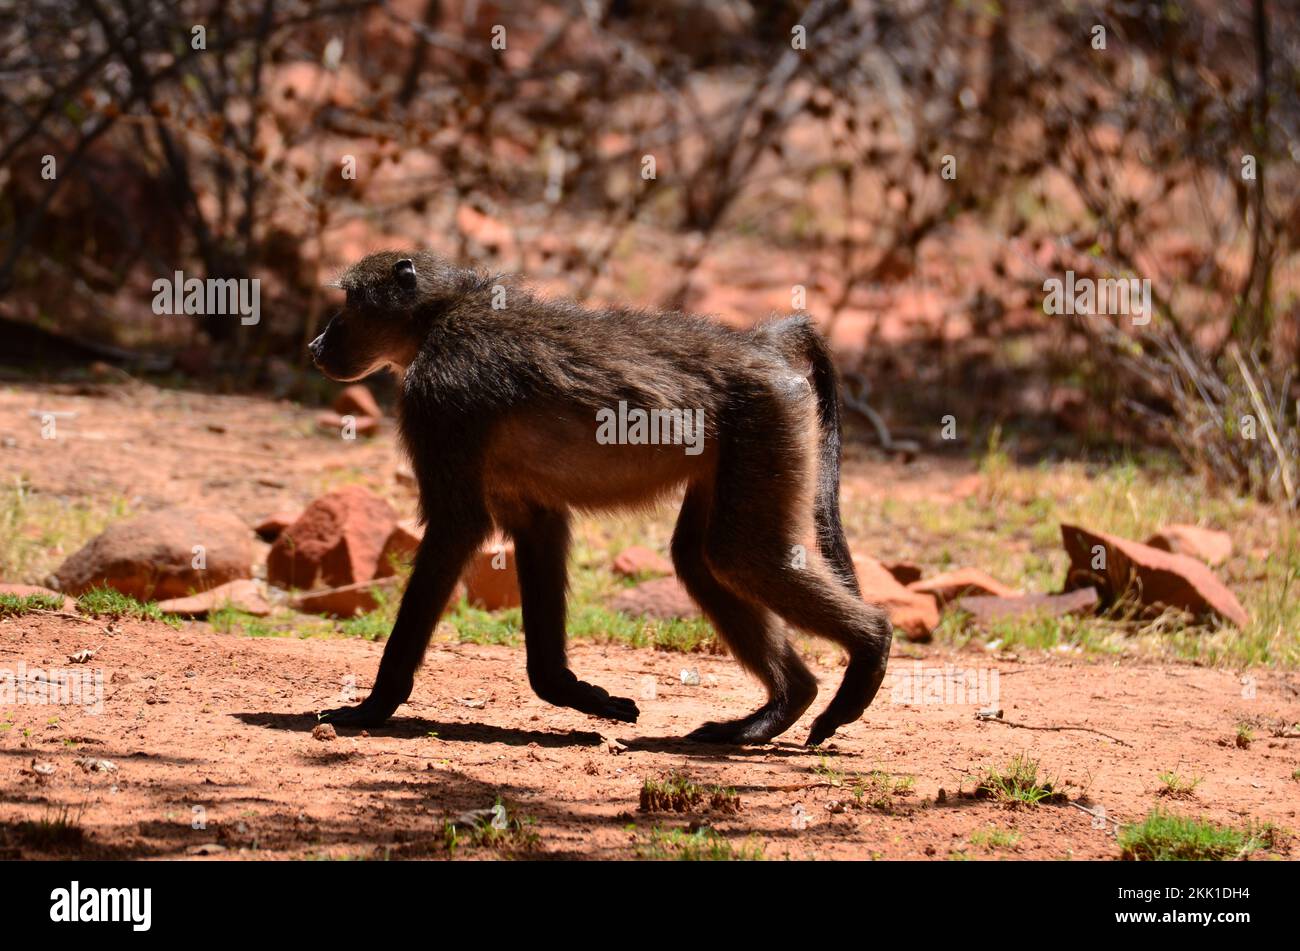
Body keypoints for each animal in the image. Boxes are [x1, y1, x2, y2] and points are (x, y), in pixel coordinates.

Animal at [310, 250, 892, 746]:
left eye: (348, 303)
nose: (316, 345)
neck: (441, 314)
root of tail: (761, 345)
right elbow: (539, 527)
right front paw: (574, 693)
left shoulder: (436, 397)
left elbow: (459, 526)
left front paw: (371, 707)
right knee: (702, 559)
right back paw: (778, 710)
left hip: (765, 422)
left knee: (737, 555)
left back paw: (869, 651)